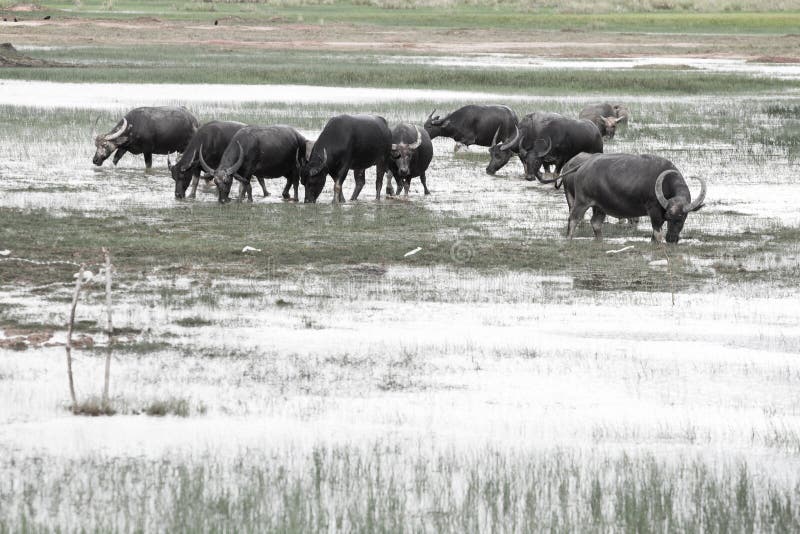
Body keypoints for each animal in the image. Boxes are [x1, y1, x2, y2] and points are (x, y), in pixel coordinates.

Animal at [562, 153, 706, 243]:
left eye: (682, 217)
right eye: (669, 217)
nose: (671, 239)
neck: (665, 183)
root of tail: (583, 165)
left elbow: (654, 235)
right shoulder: (654, 211)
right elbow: (657, 233)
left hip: (600, 206)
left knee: (596, 223)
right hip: (581, 201)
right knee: (573, 219)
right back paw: (569, 239)